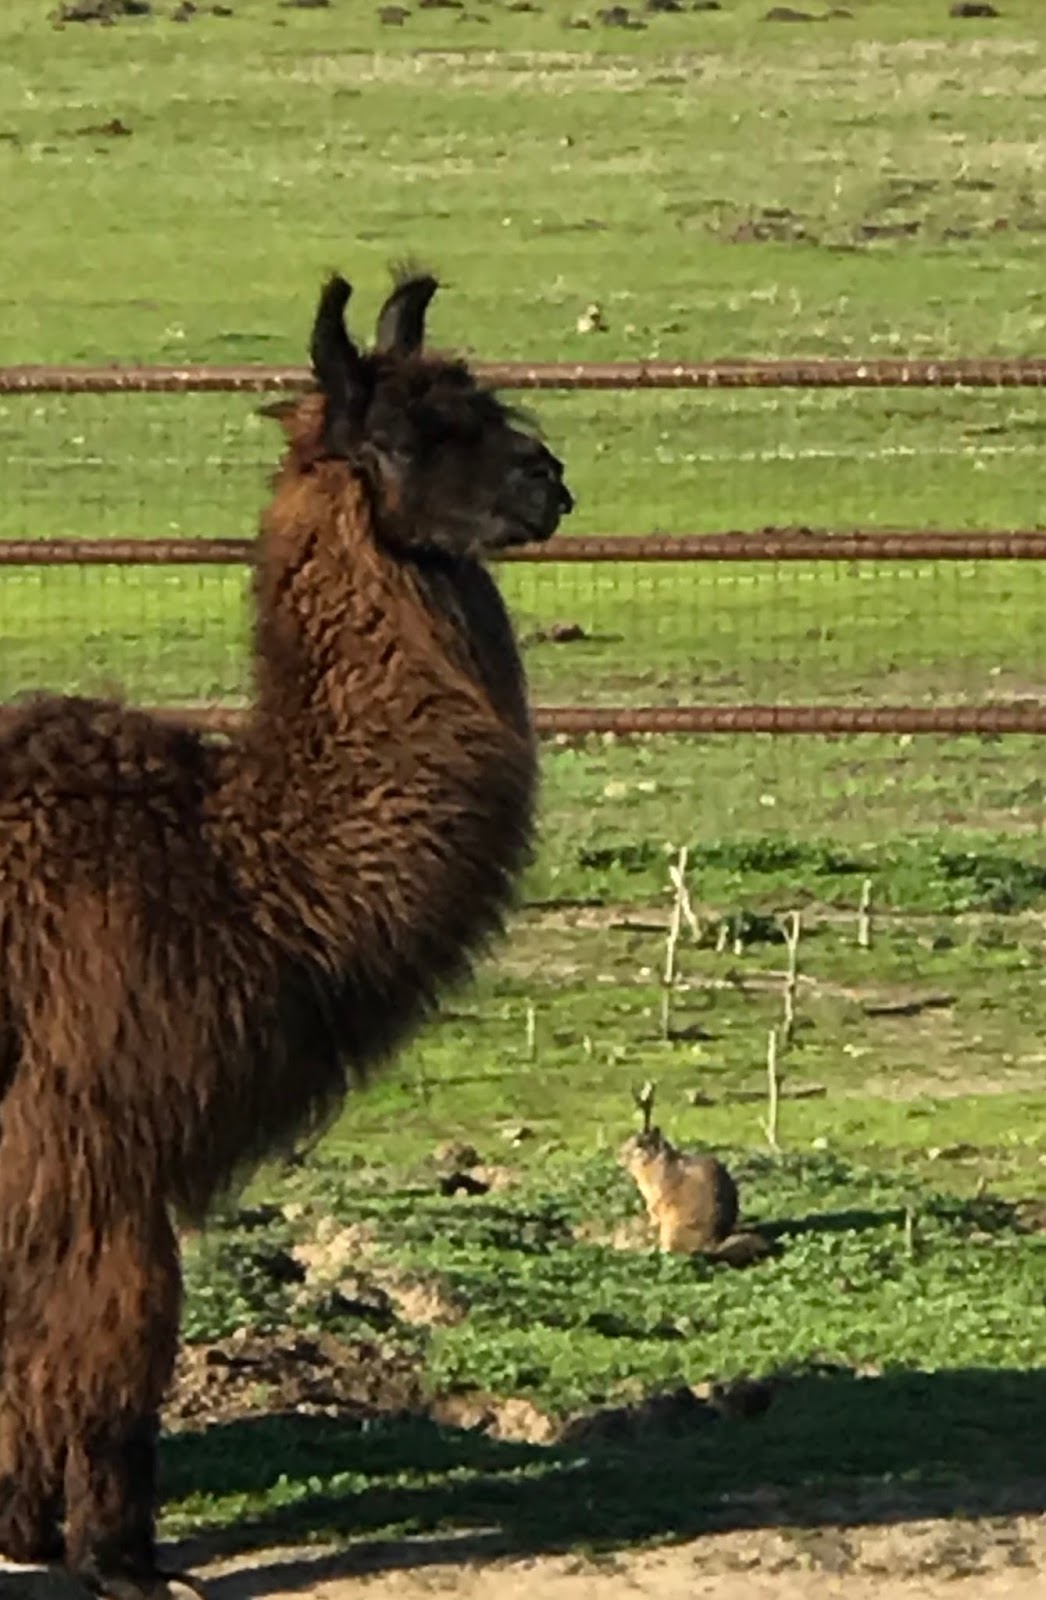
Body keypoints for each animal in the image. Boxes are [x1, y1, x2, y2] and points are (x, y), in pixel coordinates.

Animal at [619, 1083, 772, 1268]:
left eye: (638, 1143)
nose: (619, 1156)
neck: (656, 1161)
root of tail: (712, 1245)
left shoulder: (656, 1207)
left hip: (672, 1228)